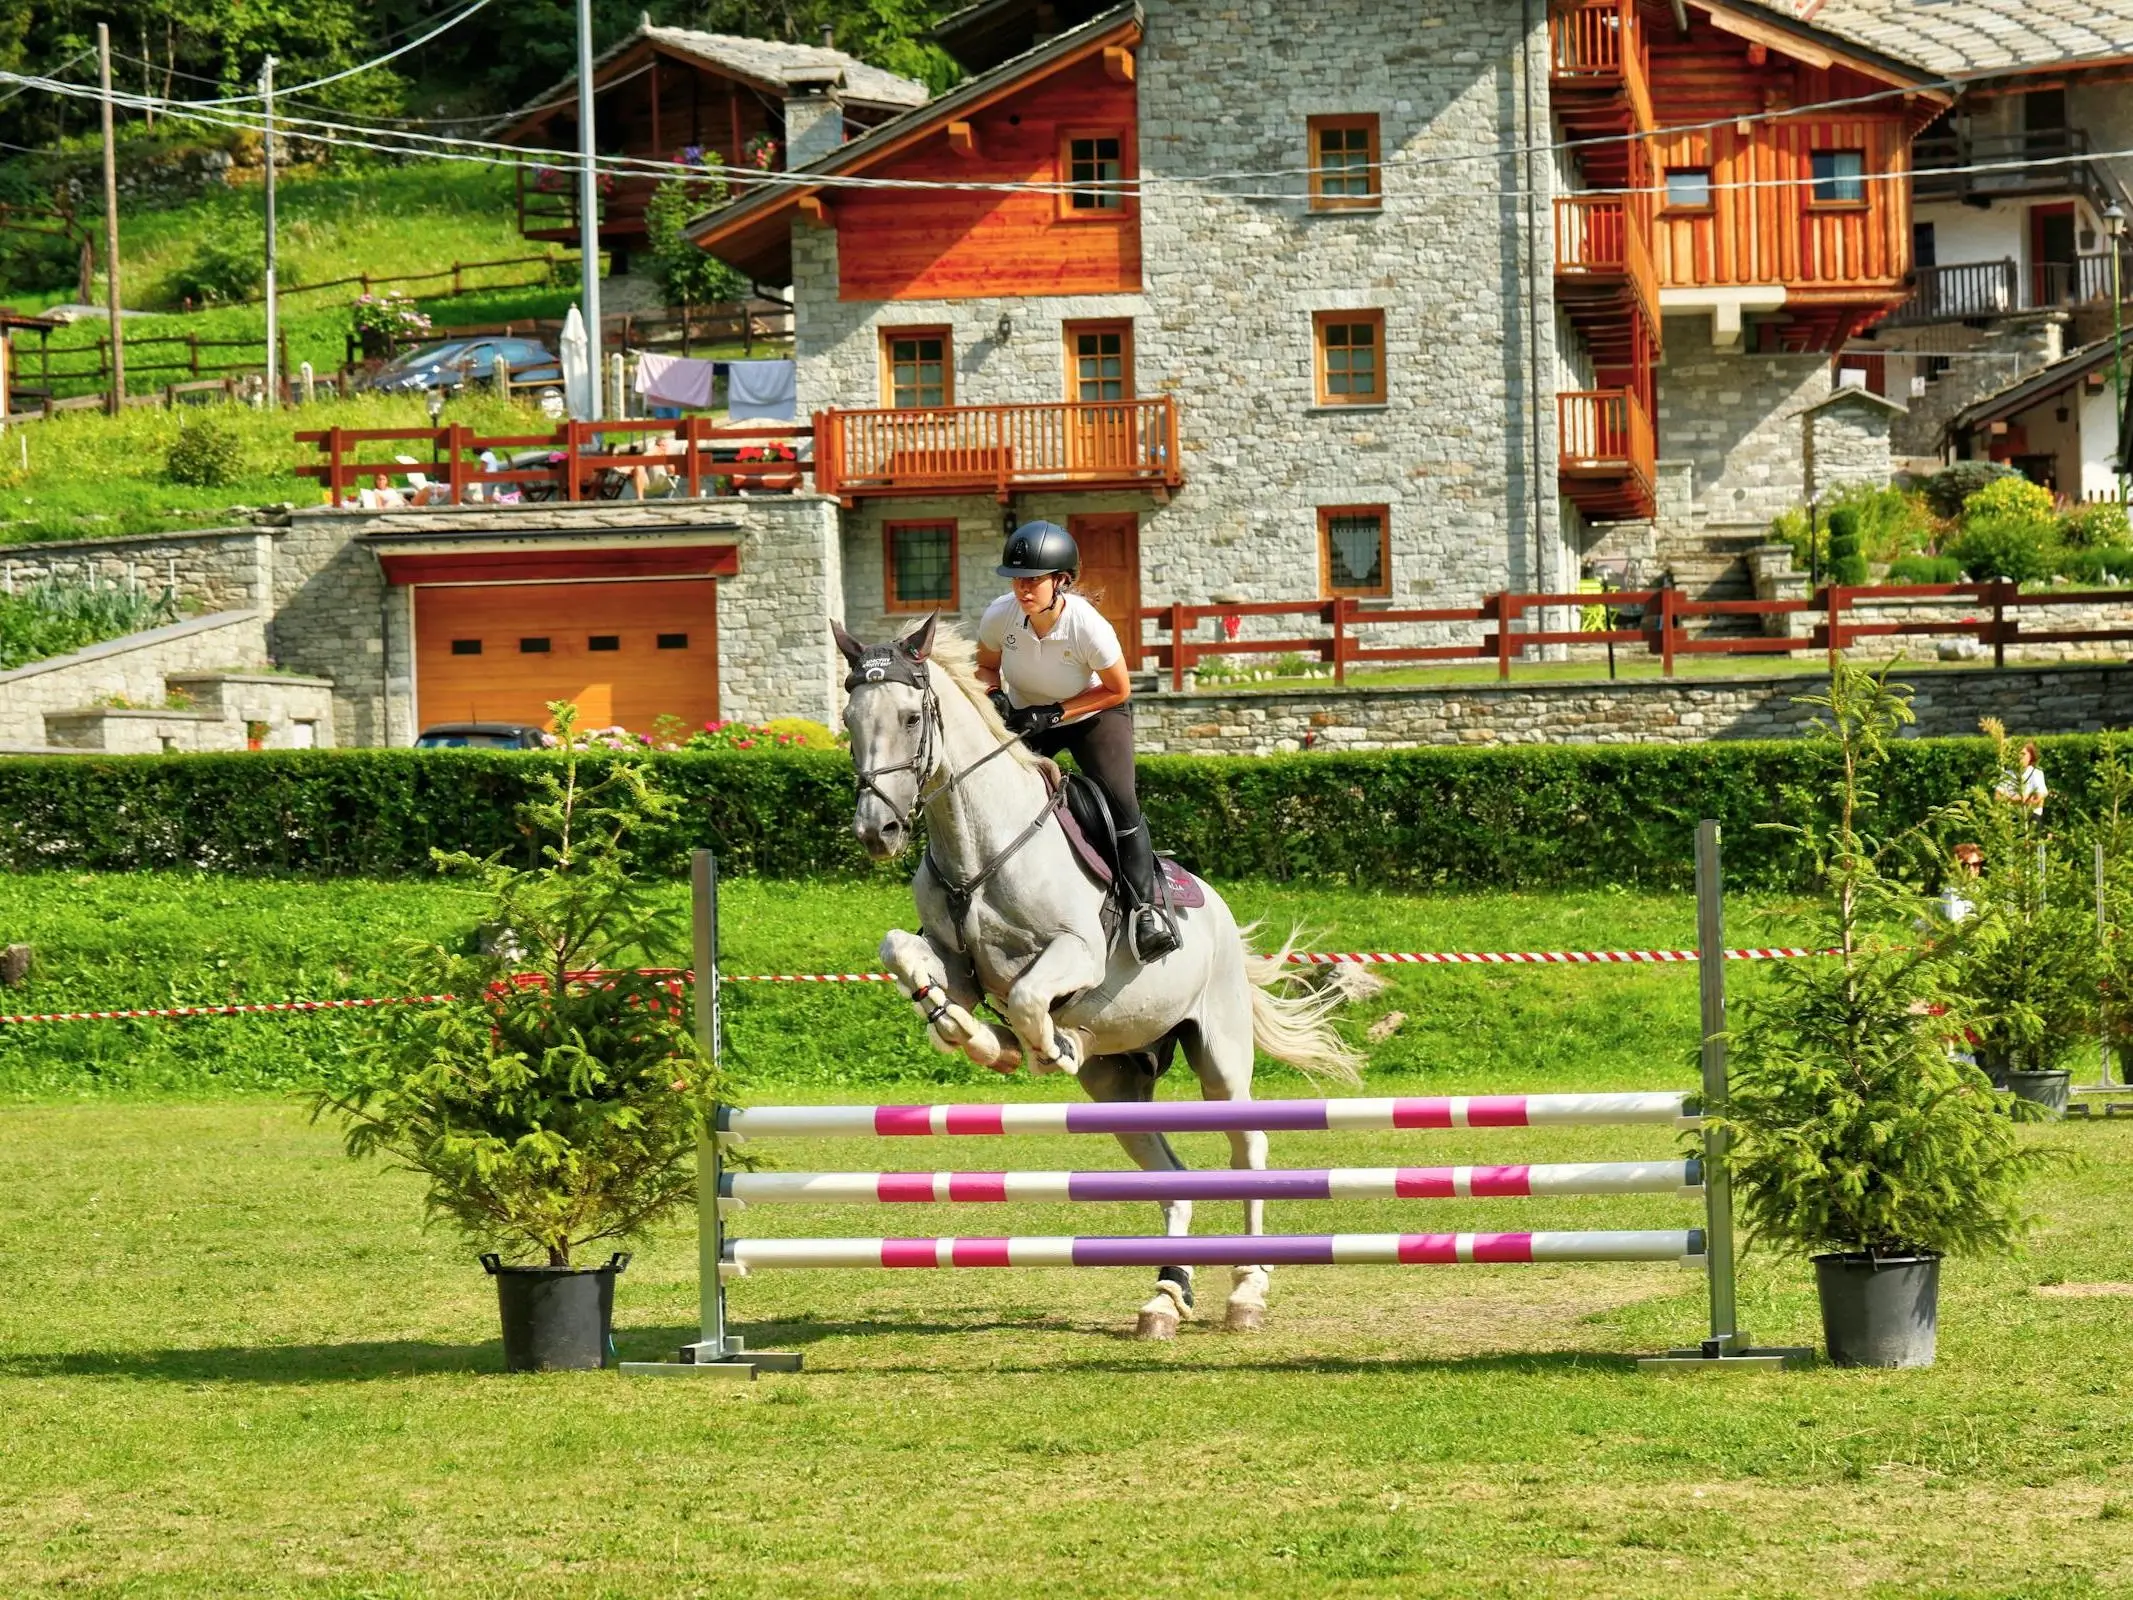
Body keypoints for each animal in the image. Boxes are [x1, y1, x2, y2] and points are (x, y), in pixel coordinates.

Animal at [832, 614, 1376, 1338]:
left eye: (912, 716)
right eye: (848, 719)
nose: (878, 831)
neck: (979, 844)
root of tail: (1222, 912)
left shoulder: (1078, 953)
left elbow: (1030, 996)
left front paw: (1035, 1047)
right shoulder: (958, 964)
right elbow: (904, 954)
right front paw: (975, 1038)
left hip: (1220, 1056)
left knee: (1248, 1148)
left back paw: (1247, 1289)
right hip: (1117, 1086)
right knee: (1170, 1177)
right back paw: (1166, 1295)